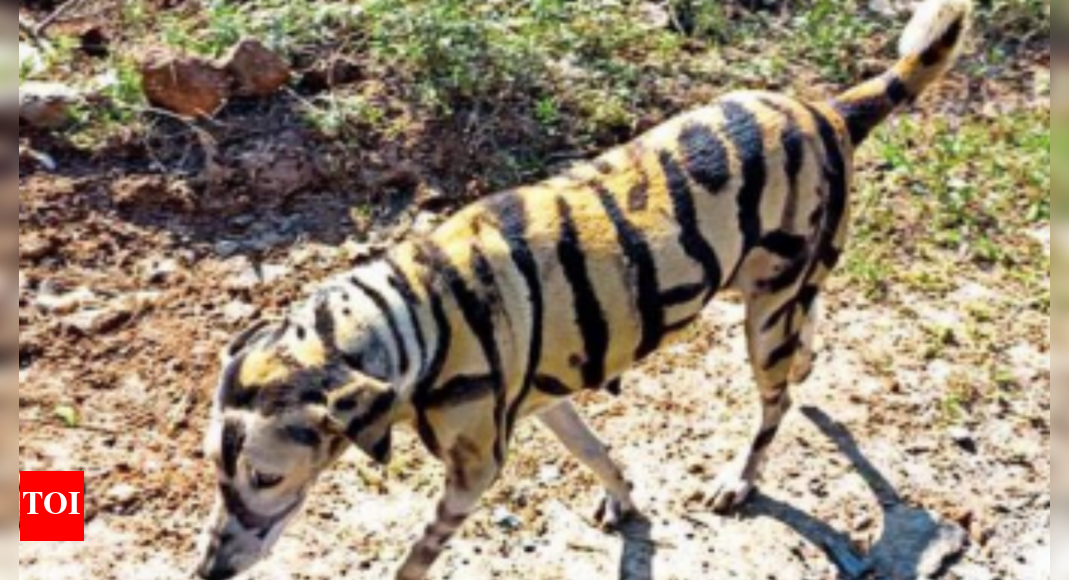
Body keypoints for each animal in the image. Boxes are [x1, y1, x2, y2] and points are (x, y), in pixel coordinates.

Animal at [196, 1, 973, 578]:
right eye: (216, 468)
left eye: (267, 478)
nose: (209, 571)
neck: (414, 318)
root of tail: (830, 112)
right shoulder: (548, 405)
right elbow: (598, 454)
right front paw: (623, 502)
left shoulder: (473, 473)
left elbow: (413, 558)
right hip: (767, 295)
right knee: (804, 340)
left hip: (763, 322)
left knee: (773, 405)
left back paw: (740, 477)